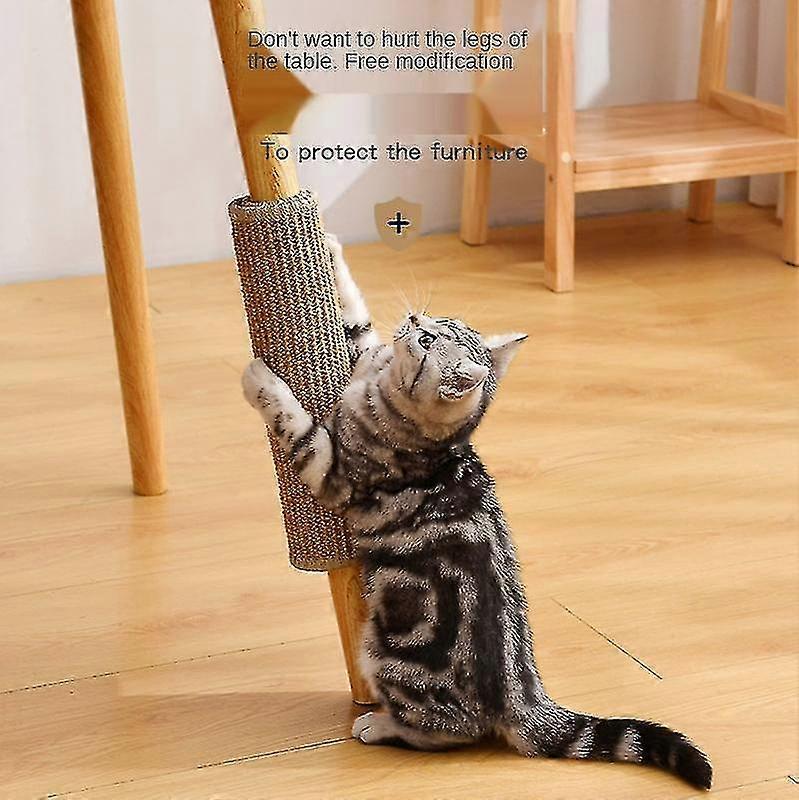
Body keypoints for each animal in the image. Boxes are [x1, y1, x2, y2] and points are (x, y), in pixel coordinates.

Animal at [241, 234, 713, 791]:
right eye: (433, 321)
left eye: (428, 341)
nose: (414, 319)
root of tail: (524, 699)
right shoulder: (366, 354)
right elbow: (357, 318)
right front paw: (330, 249)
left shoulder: (334, 471)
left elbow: (297, 424)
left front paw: (261, 380)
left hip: (386, 657)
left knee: (450, 732)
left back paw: (378, 726)